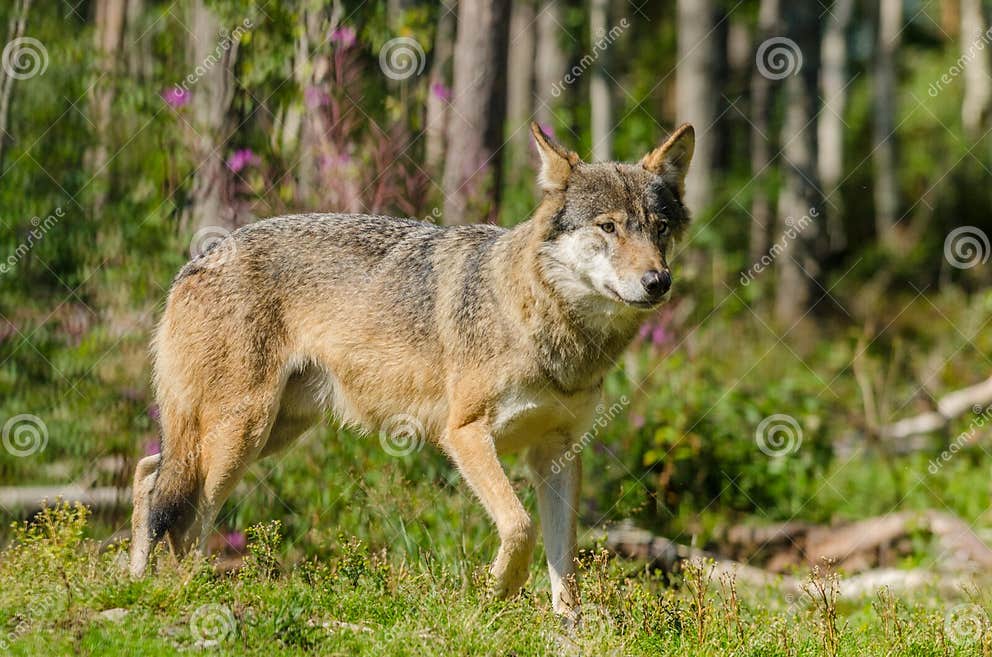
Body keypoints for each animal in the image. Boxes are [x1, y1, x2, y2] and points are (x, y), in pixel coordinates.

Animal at [130, 122, 694, 617]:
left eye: (659, 228)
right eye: (609, 227)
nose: (659, 281)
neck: (547, 327)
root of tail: (195, 262)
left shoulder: (557, 454)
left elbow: (564, 561)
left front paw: (568, 631)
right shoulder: (464, 433)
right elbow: (520, 528)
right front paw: (492, 596)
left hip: (271, 431)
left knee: (148, 474)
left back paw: (133, 582)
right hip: (241, 434)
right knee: (184, 516)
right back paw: (186, 592)